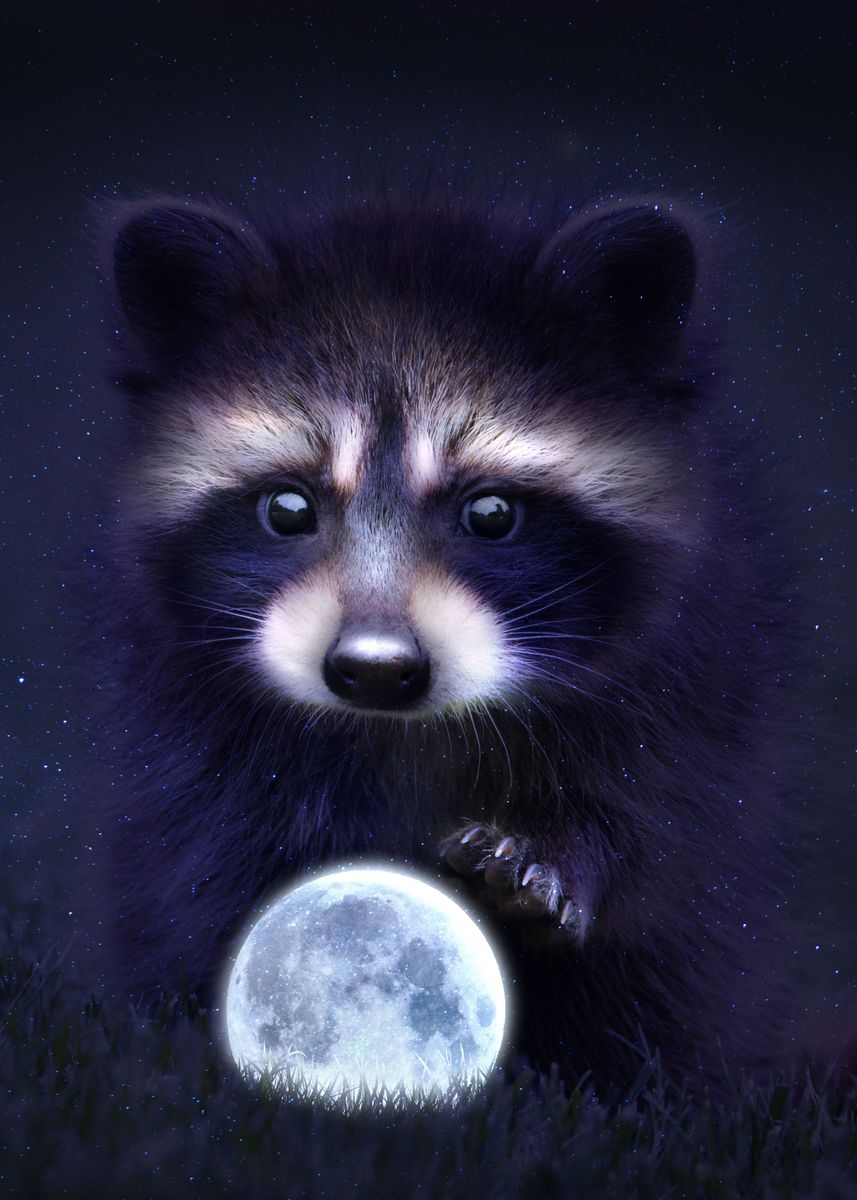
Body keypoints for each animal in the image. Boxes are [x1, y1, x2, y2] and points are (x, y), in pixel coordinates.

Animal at [89, 191, 802, 1097]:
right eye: (287, 508)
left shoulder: (689, 682)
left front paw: (553, 855)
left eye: (490, 513)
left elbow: (660, 823)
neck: (402, 736)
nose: (374, 670)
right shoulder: (187, 728)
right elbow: (213, 870)